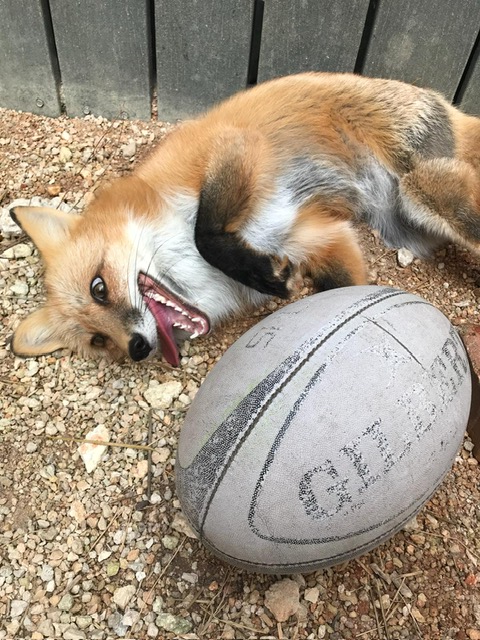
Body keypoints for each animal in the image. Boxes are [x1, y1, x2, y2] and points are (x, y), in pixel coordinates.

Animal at [9, 72, 480, 366]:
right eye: (99, 341)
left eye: (99, 288)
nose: (138, 348)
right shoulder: (319, 235)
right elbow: (344, 292)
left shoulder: (235, 148)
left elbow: (206, 234)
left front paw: (262, 276)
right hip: (404, 223)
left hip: (423, 186)